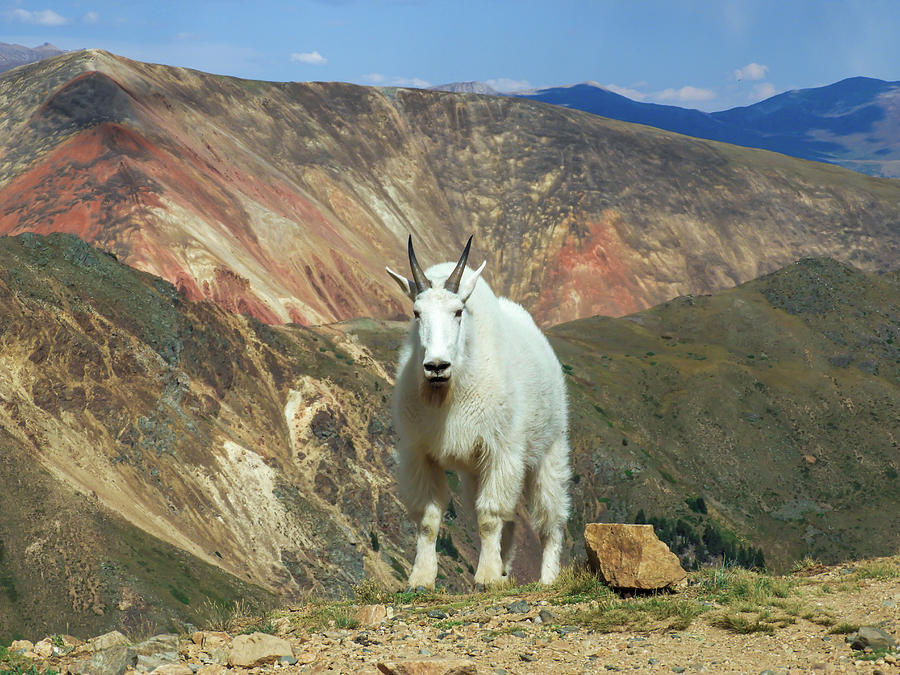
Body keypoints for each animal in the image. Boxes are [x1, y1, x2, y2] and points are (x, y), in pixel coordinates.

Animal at [386, 235, 571, 588]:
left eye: (458, 311)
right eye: (416, 313)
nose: (436, 366)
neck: (449, 394)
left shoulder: (501, 451)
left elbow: (489, 516)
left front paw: (485, 577)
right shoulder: (420, 453)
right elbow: (429, 519)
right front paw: (421, 578)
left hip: (549, 449)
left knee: (549, 517)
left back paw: (547, 578)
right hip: (473, 471)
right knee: (510, 521)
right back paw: (505, 570)